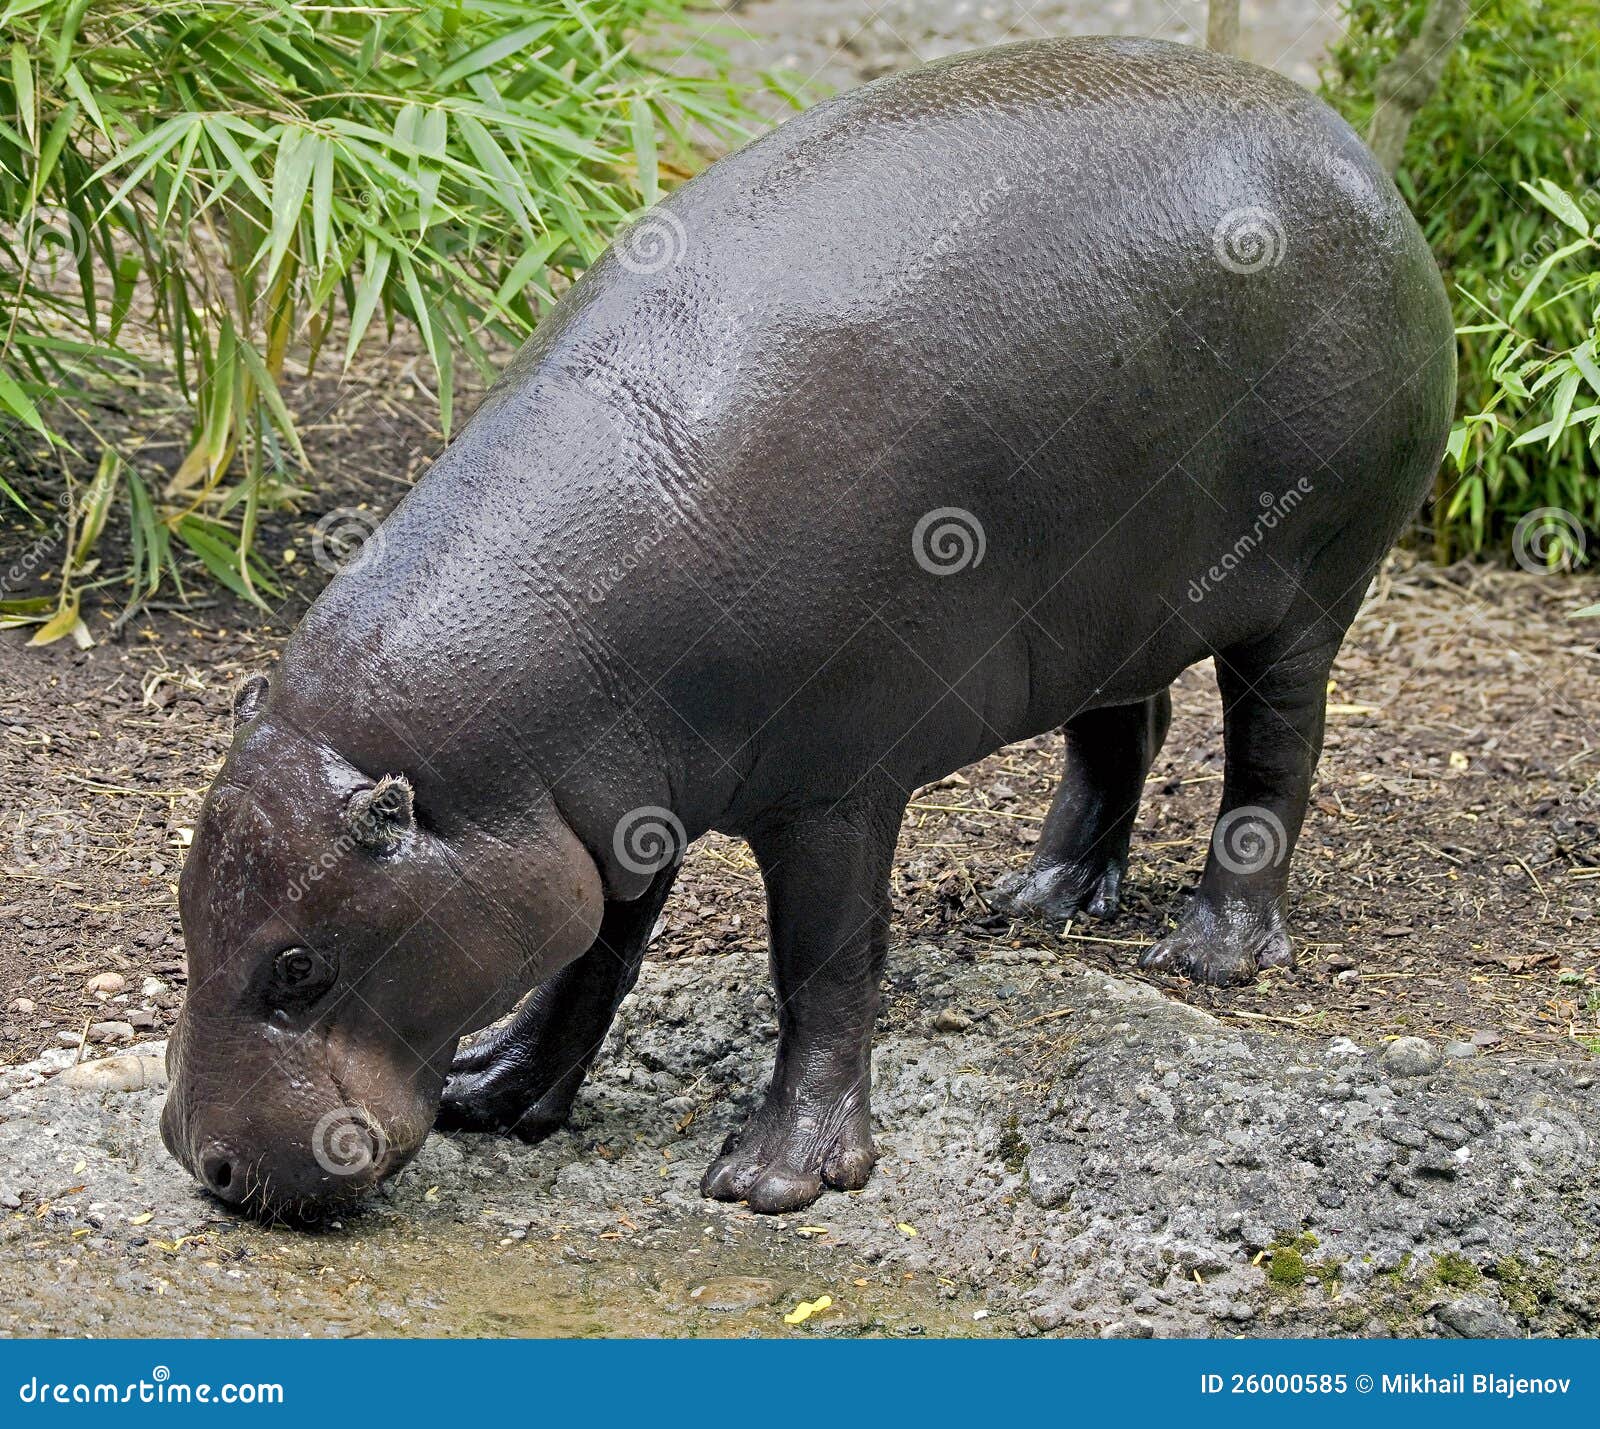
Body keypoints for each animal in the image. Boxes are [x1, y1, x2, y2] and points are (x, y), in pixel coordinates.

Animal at [162, 36, 1455, 1220]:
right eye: (185, 911)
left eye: (297, 966)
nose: (202, 1161)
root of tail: (1351, 149)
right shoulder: (604, 811)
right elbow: (591, 958)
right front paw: (497, 1088)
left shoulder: (832, 790)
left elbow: (822, 970)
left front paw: (774, 1179)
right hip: (1106, 599)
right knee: (1122, 730)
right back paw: (1039, 898)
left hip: (1305, 593)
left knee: (1272, 758)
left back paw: (1208, 953)